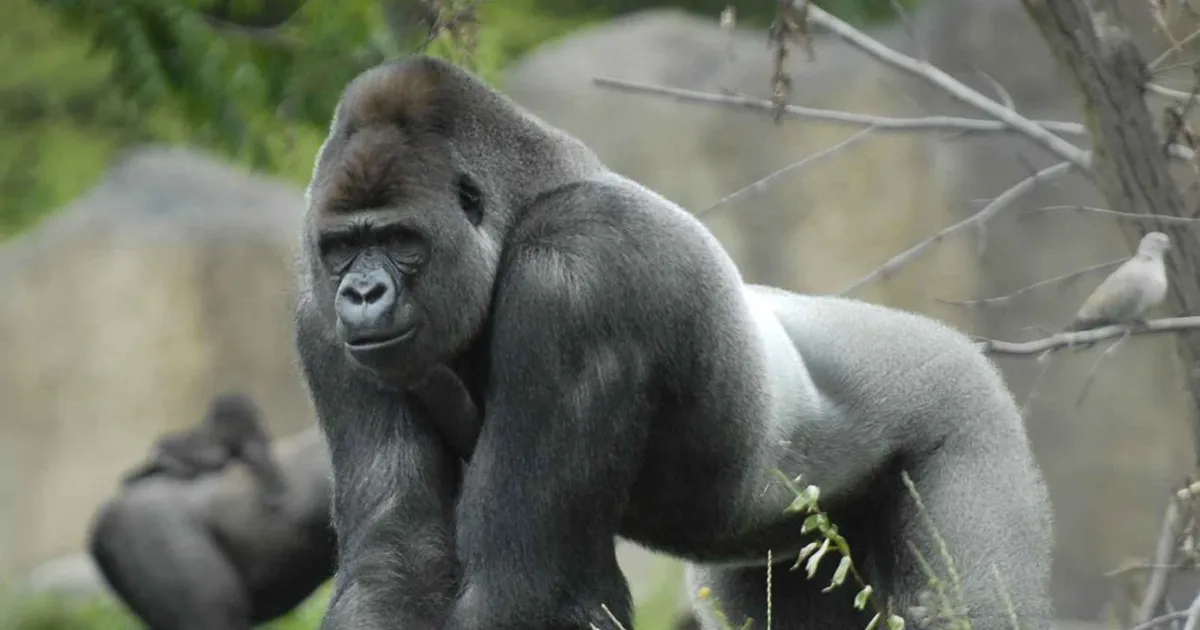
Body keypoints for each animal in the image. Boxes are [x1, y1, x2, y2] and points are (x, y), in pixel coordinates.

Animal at [294, 55, 1055, 630]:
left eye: (401, 241)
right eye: (341, 248)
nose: (361, 294)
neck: (524, 205)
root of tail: (952, 342)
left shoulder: (579, 275)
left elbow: (528, 584)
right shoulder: (319, 320)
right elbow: (395, 559)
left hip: (966, 412)